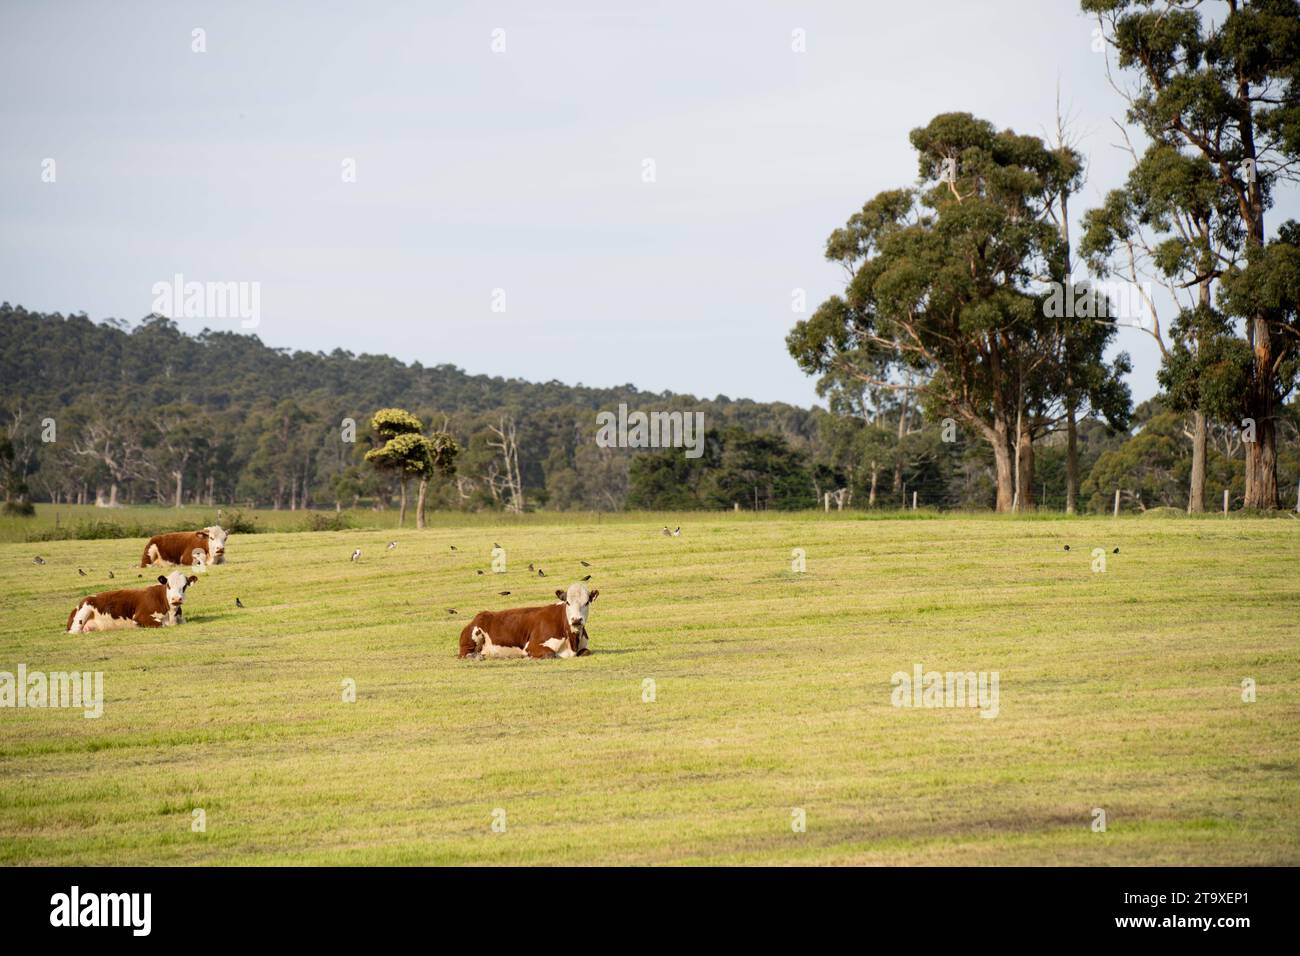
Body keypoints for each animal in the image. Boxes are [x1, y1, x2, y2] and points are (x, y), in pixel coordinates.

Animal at [66, 572, 197, 633]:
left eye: (184, 586)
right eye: (168, 585)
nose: (176, 599)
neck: (170, 615)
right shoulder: (140, 617)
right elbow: (160, 623)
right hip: (83, 612)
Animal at [458, 583, 599, 660]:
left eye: (587, 602)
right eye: (568, 602)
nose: (576, 620)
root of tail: (482, 614)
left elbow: (587, 651)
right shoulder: (532, 645)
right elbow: (550, 654)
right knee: (464, 654)